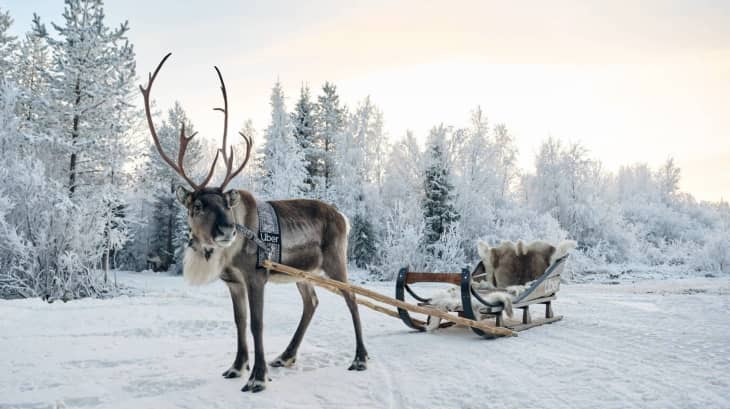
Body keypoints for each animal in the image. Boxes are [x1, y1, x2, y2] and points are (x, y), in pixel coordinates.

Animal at [139, 53, 368, 393]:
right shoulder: (233, 282)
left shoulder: (255, 277)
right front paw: (237, 367)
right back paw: (286, 356)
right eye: (197, 205)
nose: (227, 230)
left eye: (226, 203)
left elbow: (257, 324)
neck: (227, 256)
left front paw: (258, 377)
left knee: (352, 297)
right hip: (303, 272)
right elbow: (240, 322)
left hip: (334, 261)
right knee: (311, 302)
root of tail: (344, 217)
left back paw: (360, 358)